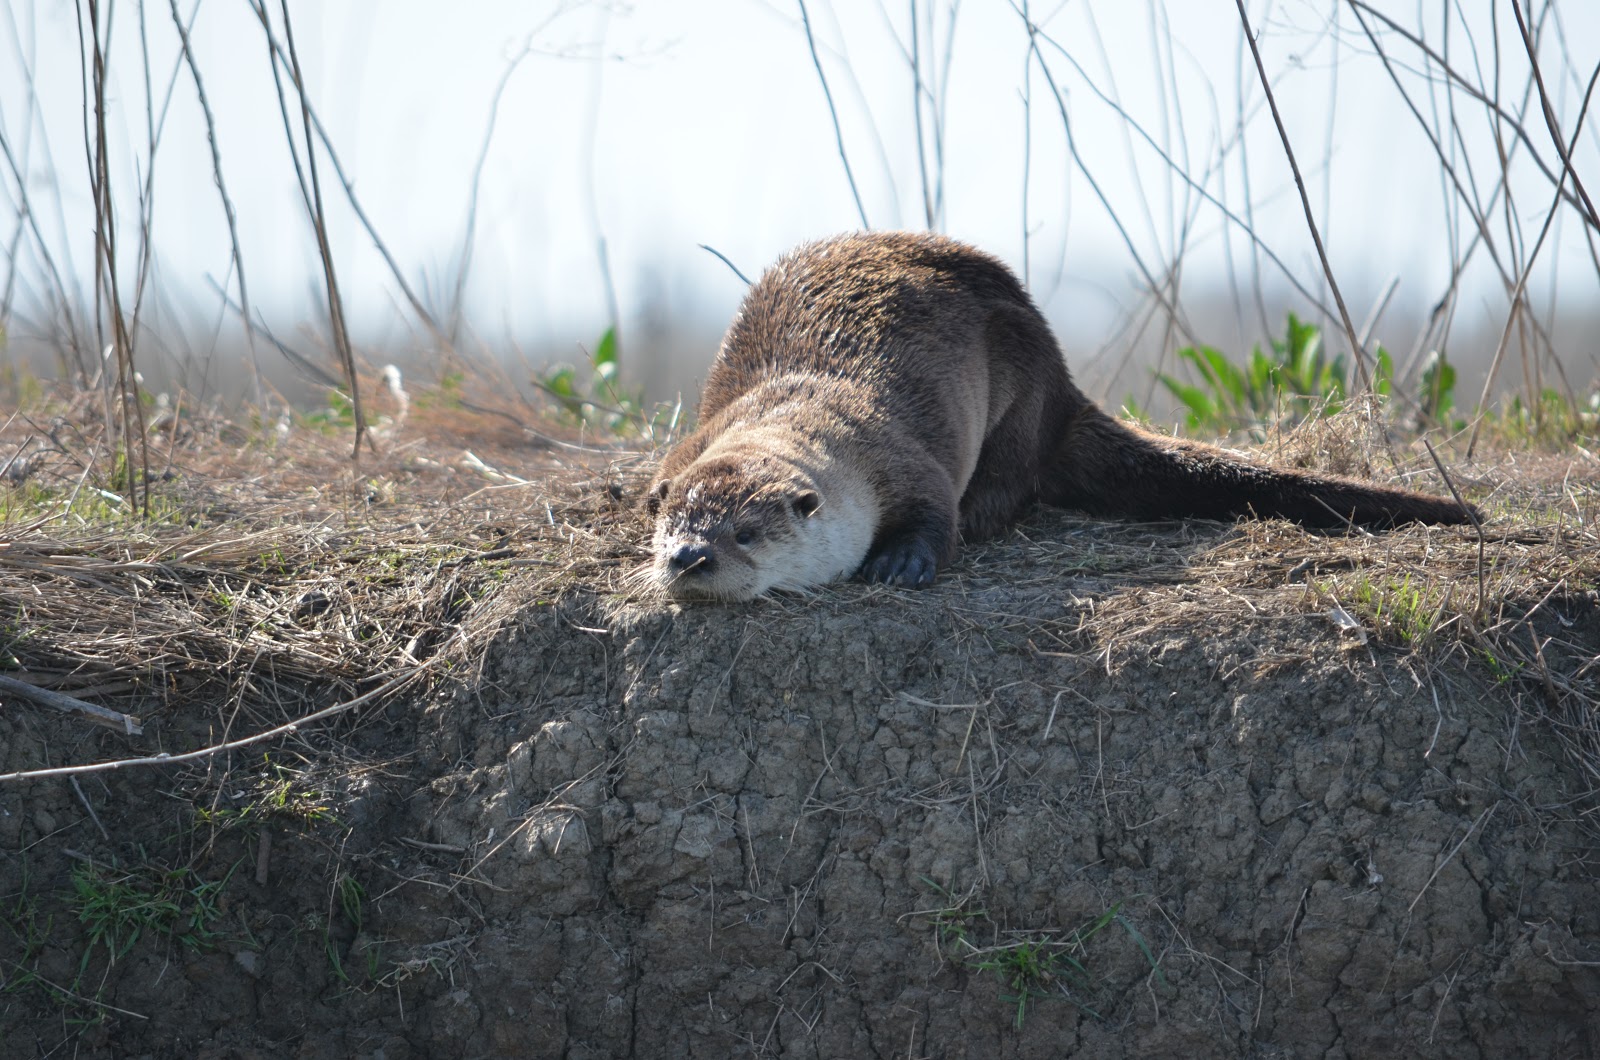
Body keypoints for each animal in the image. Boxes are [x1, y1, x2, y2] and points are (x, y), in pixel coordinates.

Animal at [646, 232, 1476, 601]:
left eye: (748, 533)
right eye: (674, 525)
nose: (689, 558)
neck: (803, 410)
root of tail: (1063, 375)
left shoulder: (899, 457)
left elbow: (936, 515)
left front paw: (901, 562)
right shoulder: (689, 449)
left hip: (1023, 391)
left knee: (1015, 482)